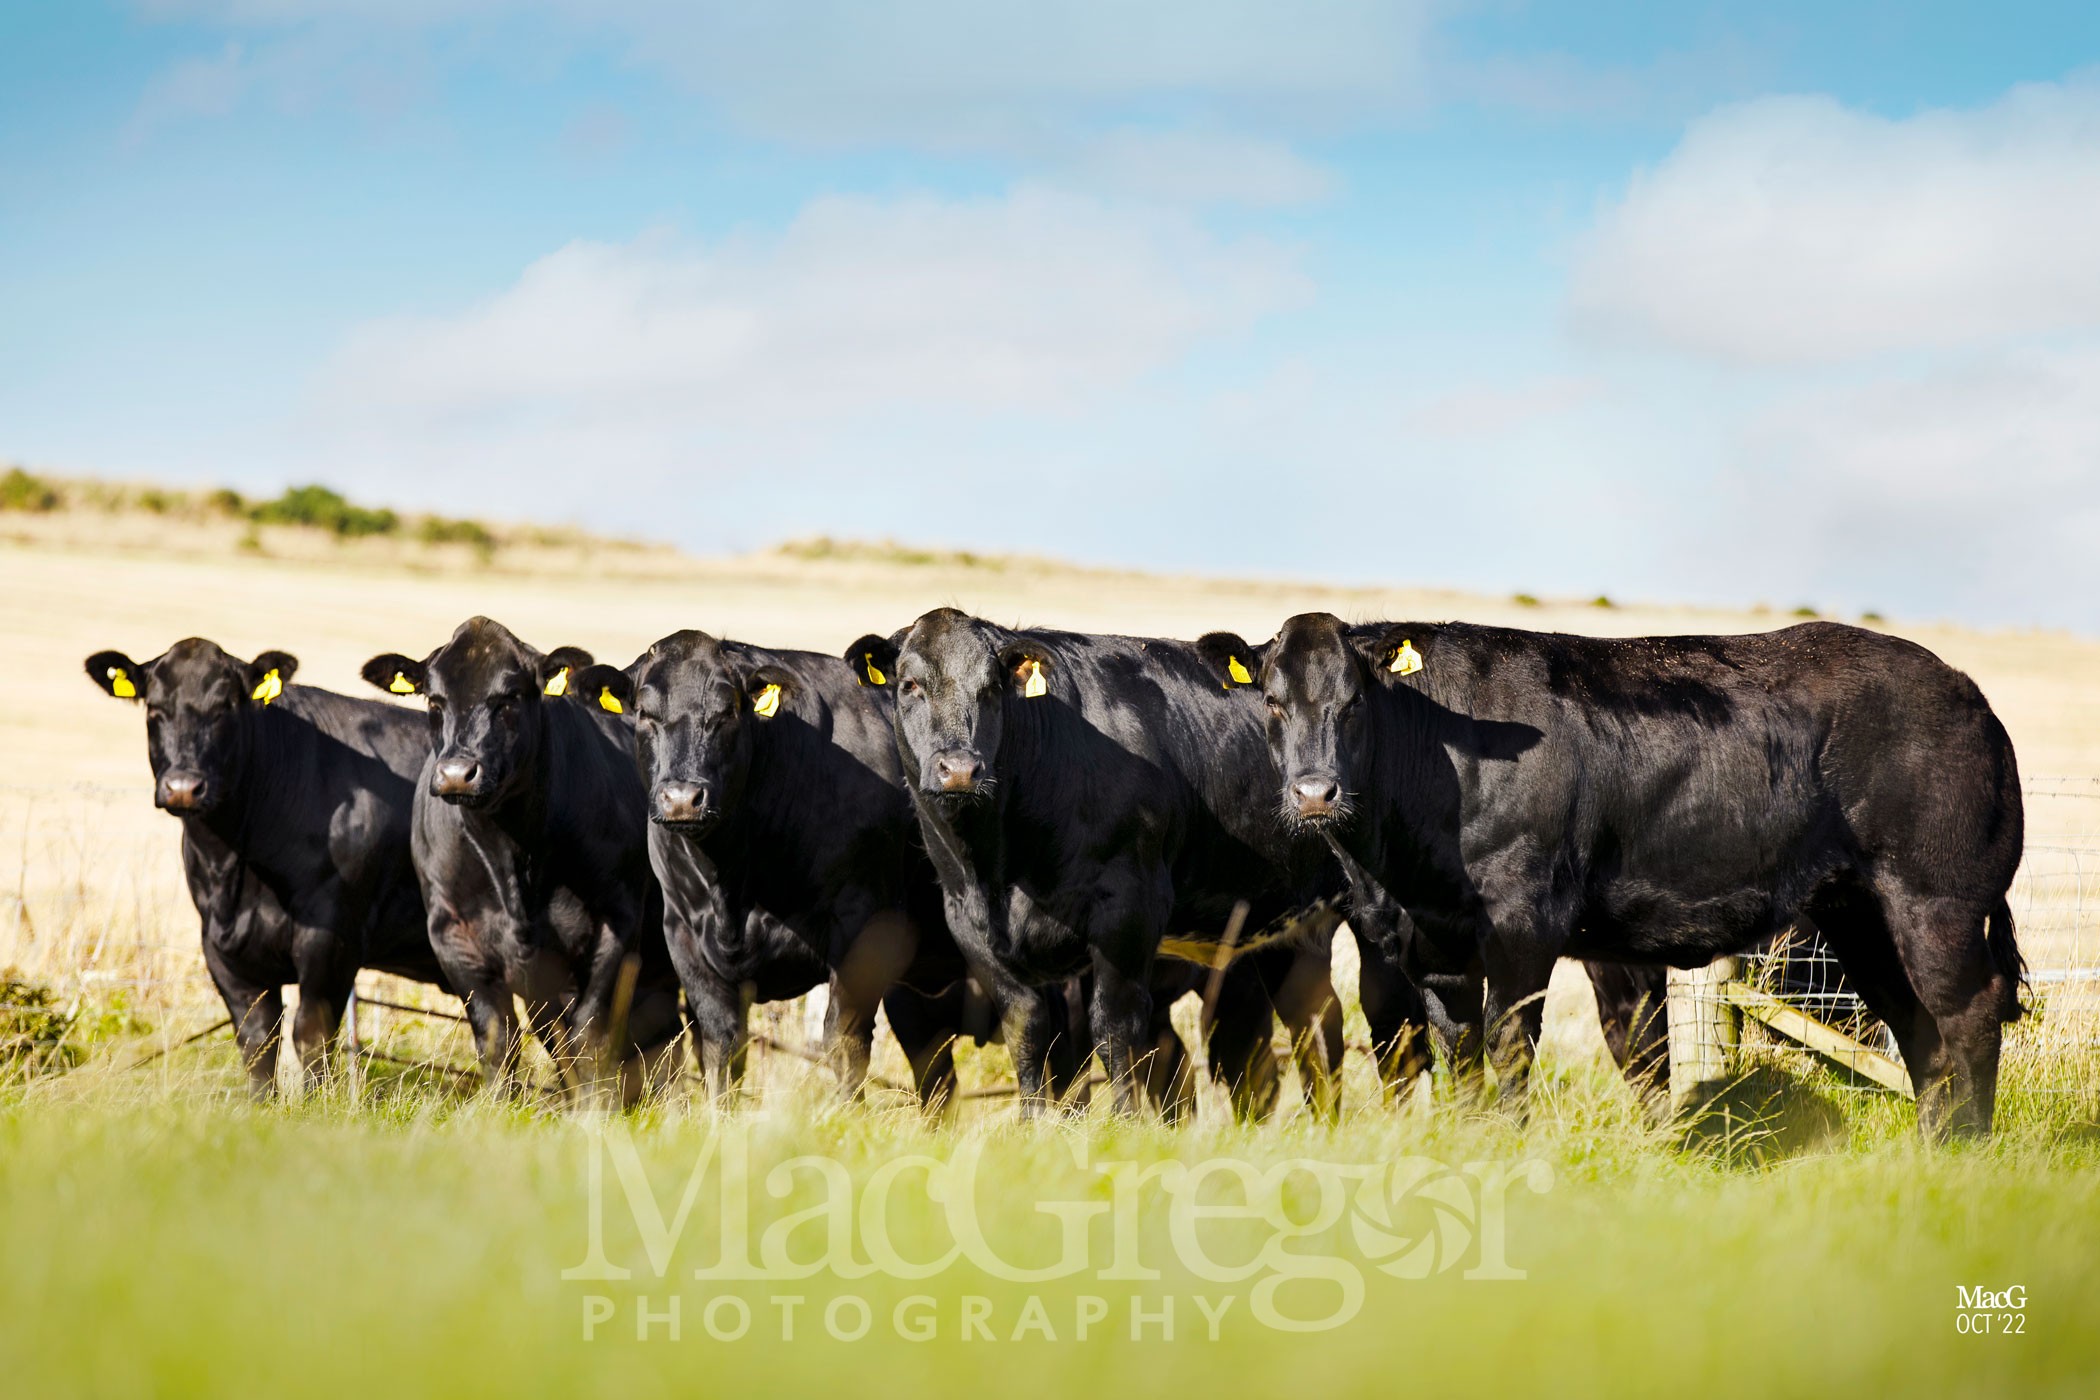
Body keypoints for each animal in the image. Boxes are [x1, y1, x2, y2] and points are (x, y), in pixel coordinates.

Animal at [85, 639, 441, 1094]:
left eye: (224, 708)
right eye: (155, 709)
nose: (183, 787)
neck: (237, 866)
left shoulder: (332, 940)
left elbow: (311, 1037)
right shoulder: (222, 949)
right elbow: (257, 1044)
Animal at [360, 618, 683, 1103]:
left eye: (509, 697)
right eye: (434, 700)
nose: (456, 774)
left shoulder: (615, 924)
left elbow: (589, 1033)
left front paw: (594, 1106)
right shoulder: (454, 935)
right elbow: (497, 1038)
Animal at [854, 609, 1376, 1119]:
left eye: (991, 688)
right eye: (909, 684)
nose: (960, 768)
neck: (999, 867)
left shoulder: (1128, 911)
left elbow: (1113, 1030)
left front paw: (1125, 1125)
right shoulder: (969, 924)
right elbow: (1027, 1032)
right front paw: (1031, 1125)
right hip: (1286, 929)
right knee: (1312, 1026)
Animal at [1229, 613, 2025, 1139]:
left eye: (1354, 702)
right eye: (1271, 700)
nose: (1314, 792)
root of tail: (1966, 690)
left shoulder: (1522, 925)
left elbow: (1509, 1044)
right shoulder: (1432, 942)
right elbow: (1458, 1052)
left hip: (1937, 900)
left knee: (1969, 1013)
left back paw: (1970, 1151)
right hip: (1858, 912)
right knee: (1919, 1031)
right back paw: (1932, 1147)